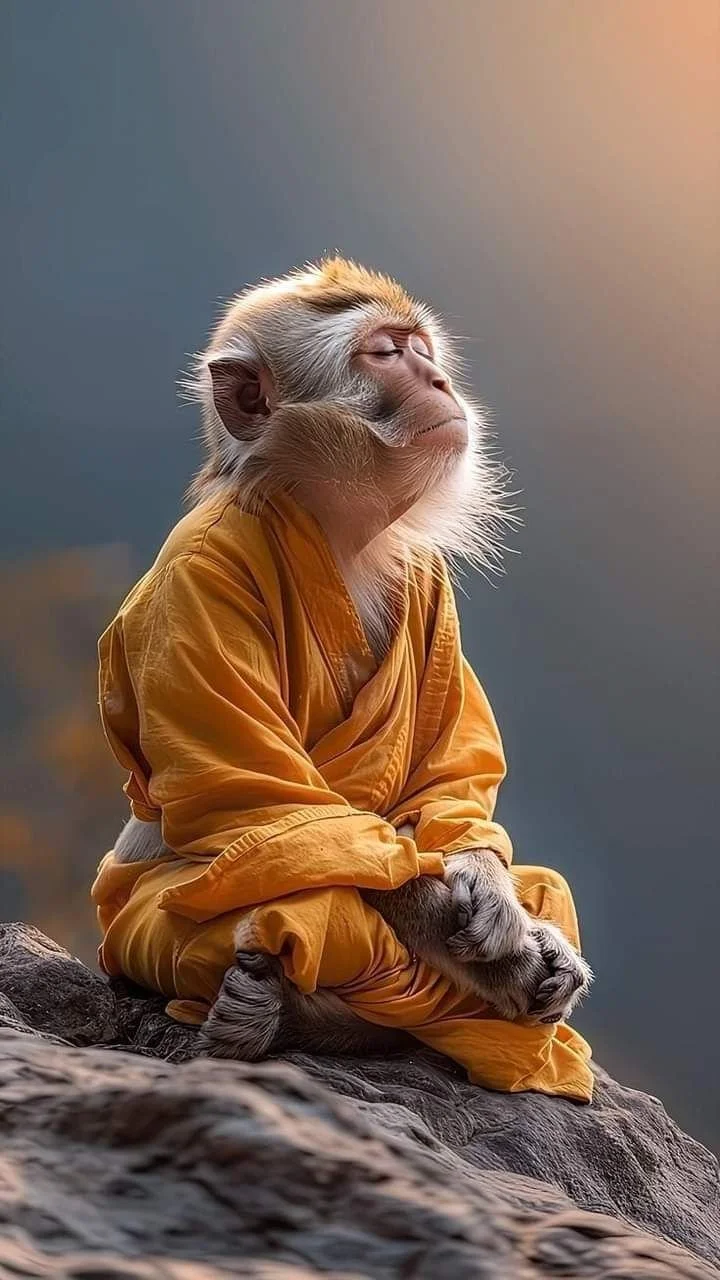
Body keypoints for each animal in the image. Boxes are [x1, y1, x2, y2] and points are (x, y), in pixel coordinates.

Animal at [106, 257, 592, 1067]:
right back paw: (276, 1007)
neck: (333, 527)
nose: (438, 380)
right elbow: (277, 811)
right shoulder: (199, 579)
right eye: (386, 353)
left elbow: (445, 784)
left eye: (420, 346)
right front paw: (506, 958)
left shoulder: (429, 584)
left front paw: (494, 891)